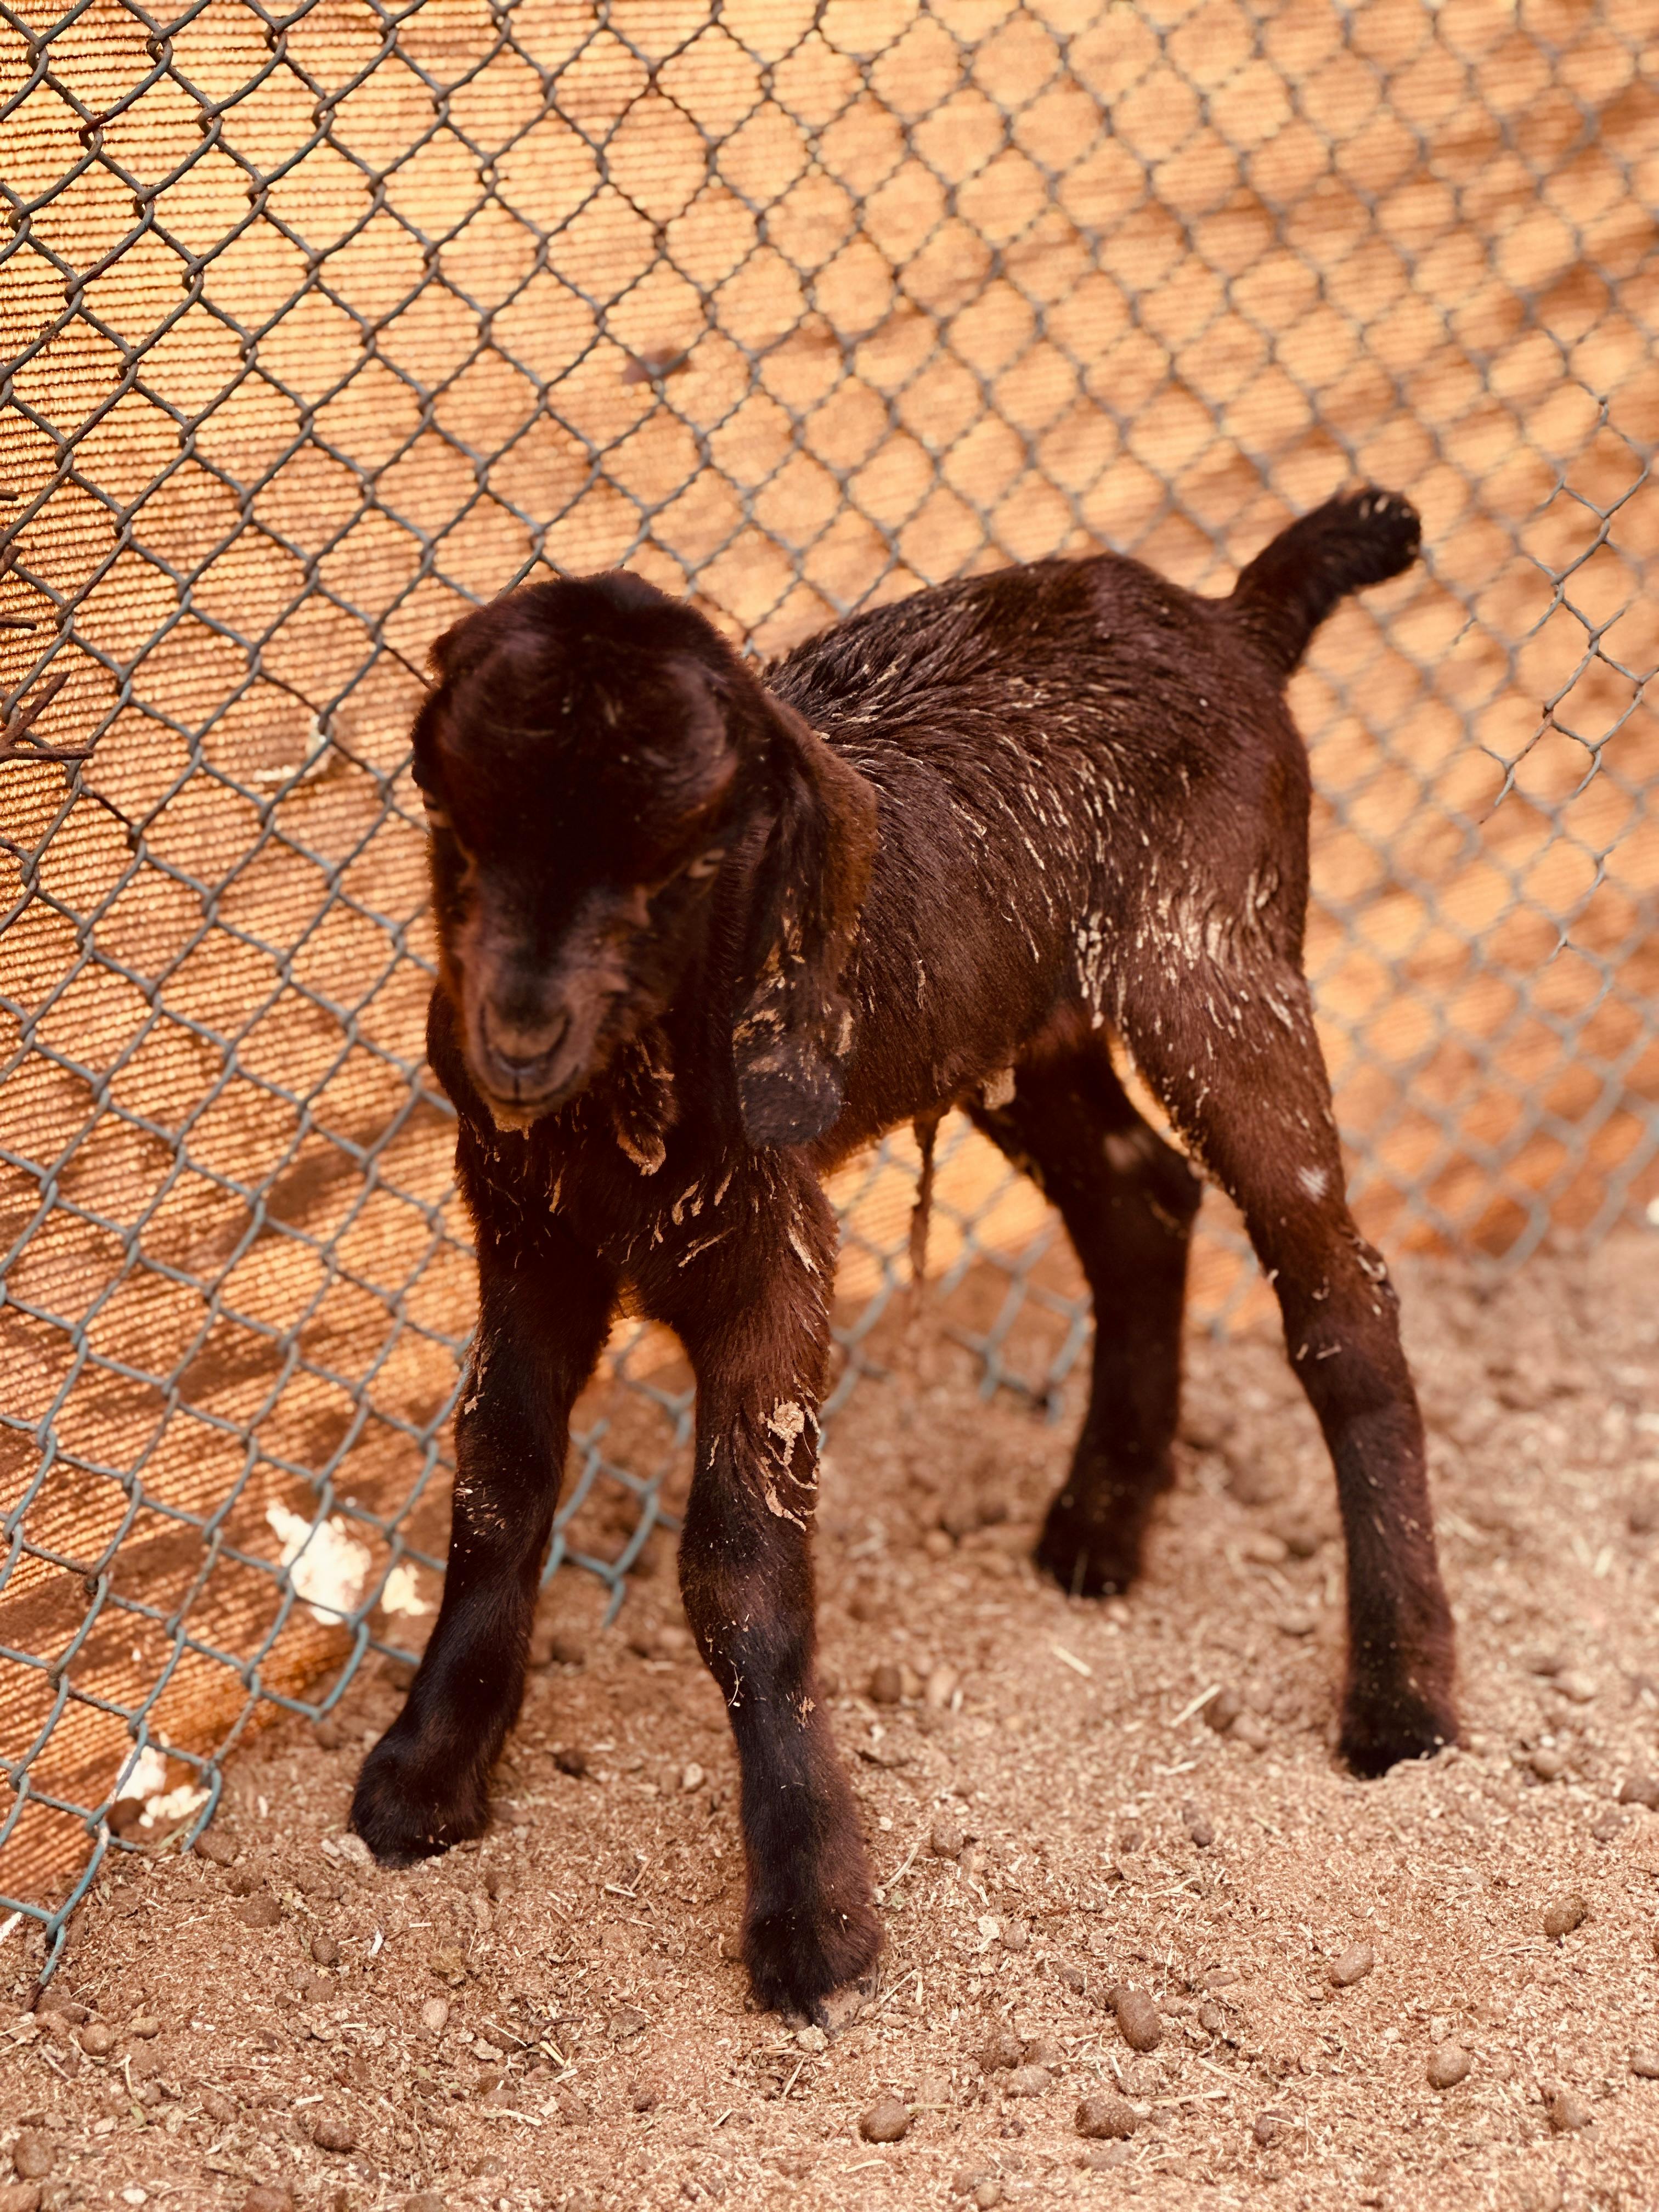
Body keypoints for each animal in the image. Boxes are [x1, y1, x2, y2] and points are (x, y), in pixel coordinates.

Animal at [351, 489, 1459, 2021]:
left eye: (686, 860)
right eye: (456, 827)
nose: (515, 1038)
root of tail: (1234, 621)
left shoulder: (774, 1256)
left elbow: (740, 1569)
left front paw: (813, 1918)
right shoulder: (523, 1238)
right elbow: (497, 1485)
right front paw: (426, 1776)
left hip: (1216, 960)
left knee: (1340, 1289)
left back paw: (1401, 1703)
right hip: (1026, 1018)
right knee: (1140, 1204)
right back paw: (1102, 1521)